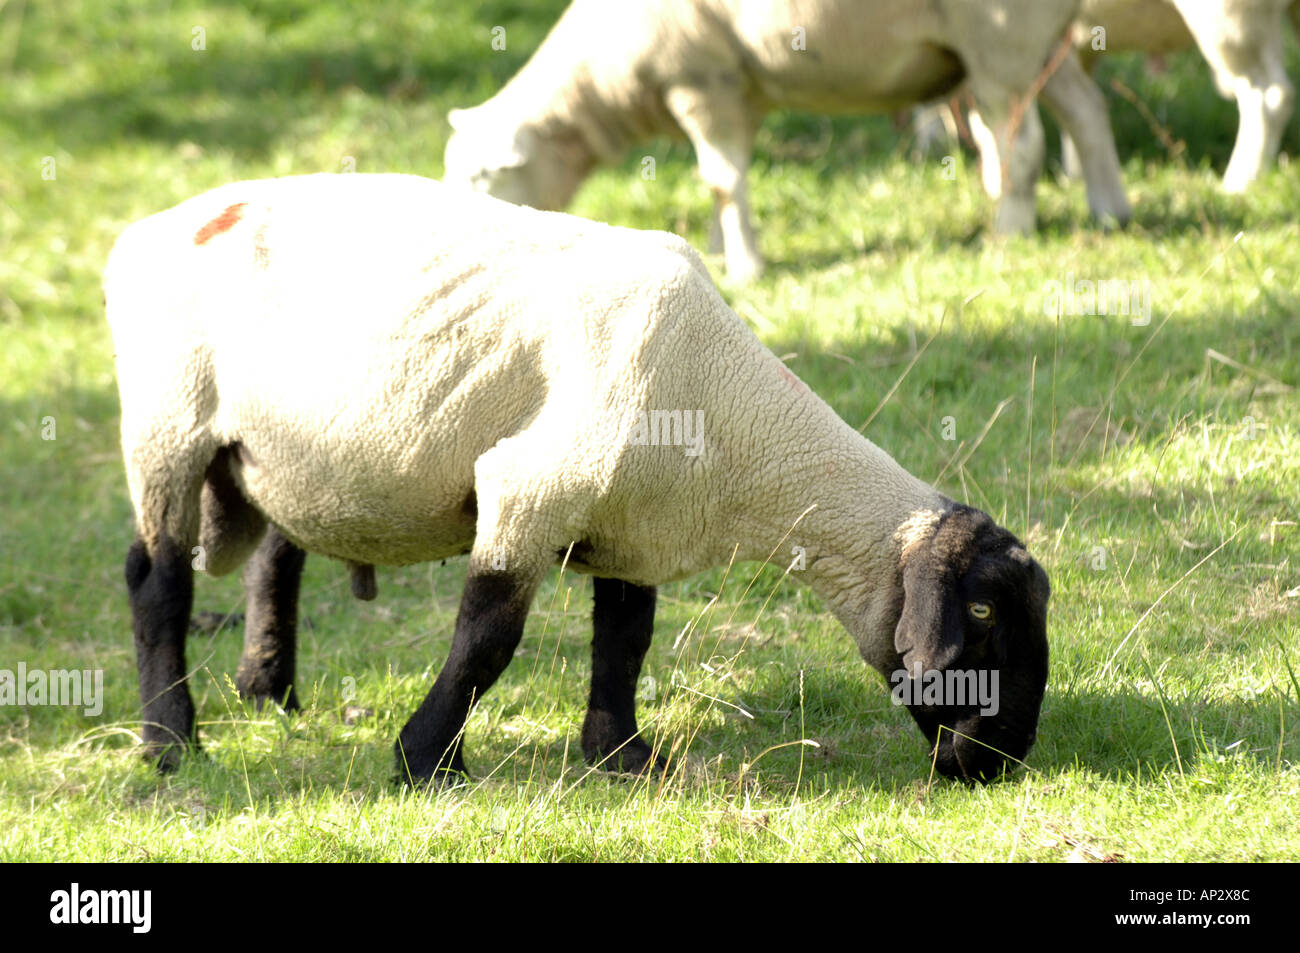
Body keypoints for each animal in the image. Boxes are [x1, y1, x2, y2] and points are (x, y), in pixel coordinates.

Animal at [103, 172, 1051, 786]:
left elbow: (625, 639)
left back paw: (270, 691)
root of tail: (146, 230)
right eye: (981, 612)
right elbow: (487, 641)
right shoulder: (529, 490)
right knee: (155, 581)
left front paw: (623, 757)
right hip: (167, 417)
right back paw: (170, 742)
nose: (998, 759)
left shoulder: (632, 523)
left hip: (280, 449)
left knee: (278, 555)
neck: (734, 422)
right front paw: (426, 761)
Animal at [442, 0, 1131, 282]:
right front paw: (717, 249)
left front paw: (746, 270)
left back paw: (1010, 231)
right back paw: (1110, 210)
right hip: (1042, 43)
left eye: (483, 180)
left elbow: (722, 180)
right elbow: (724, 183)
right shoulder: (737, 94)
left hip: (1000, 42)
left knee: (1022, 141)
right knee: (1087, 110)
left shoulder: (704, 83)